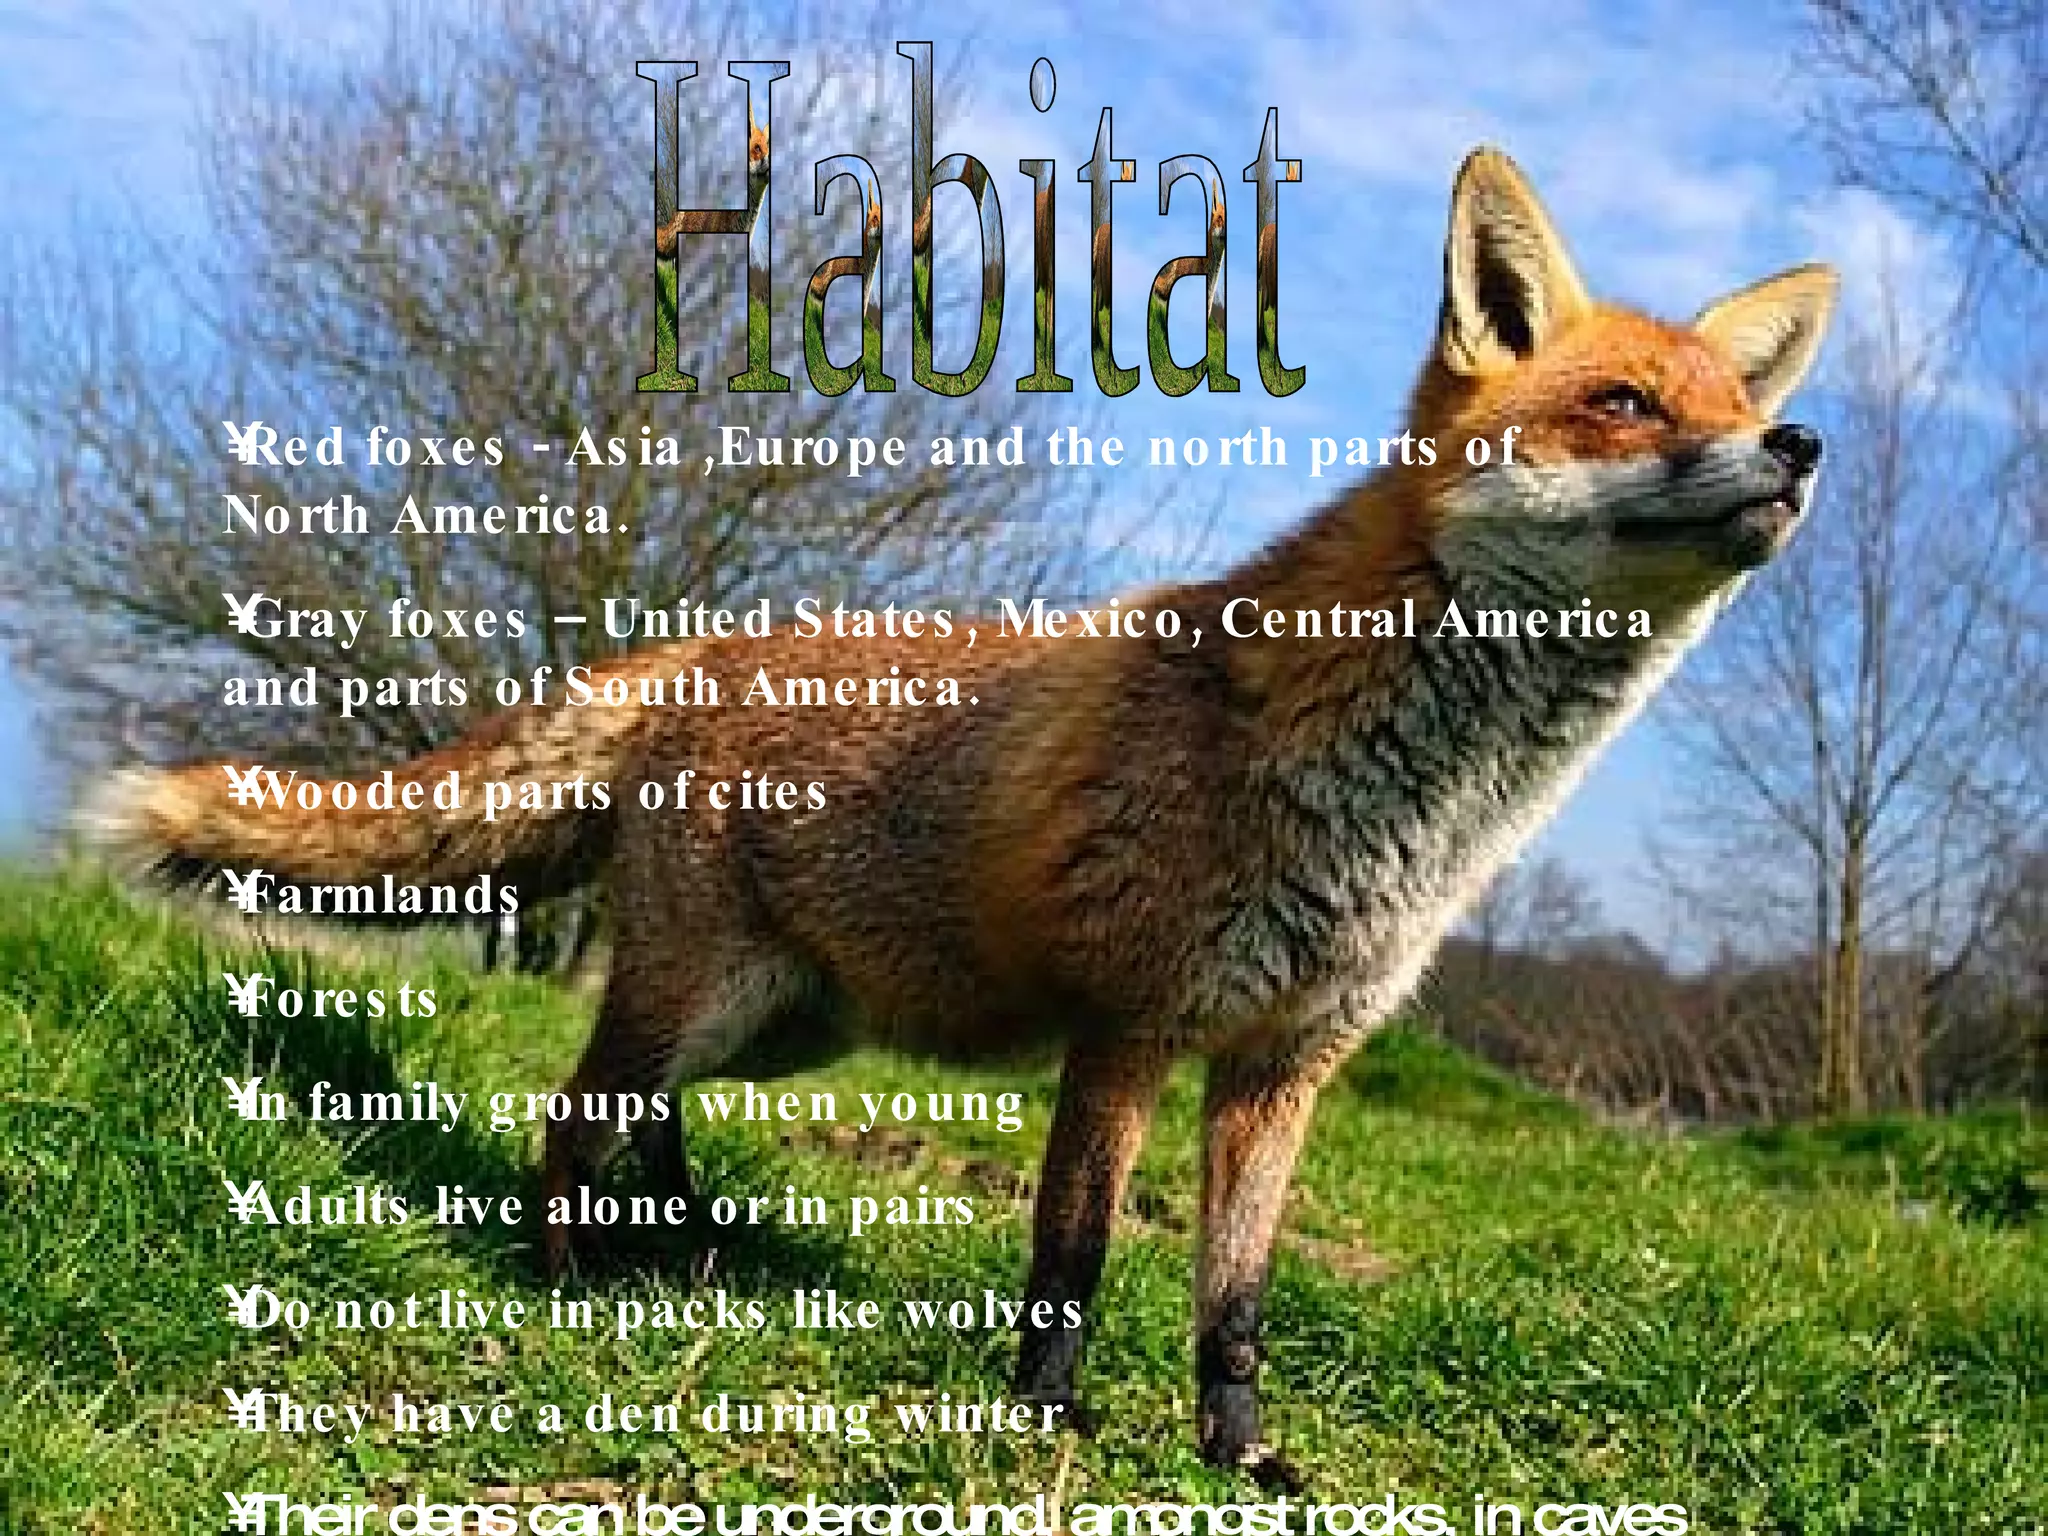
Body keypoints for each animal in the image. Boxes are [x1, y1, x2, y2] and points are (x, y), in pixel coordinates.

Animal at [87, 149, 1833, 1483]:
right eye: (1624, 403)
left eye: (1726, 402)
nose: (1800, 442)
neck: (1413, 808)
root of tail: (710, 644)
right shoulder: (1131, 1021)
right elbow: (1072, 1259)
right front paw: (1046, 1430)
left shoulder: (1285, 1064)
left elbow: (1236, 1303)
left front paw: (1237, 1459)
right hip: (706, 995)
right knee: (573, 1118)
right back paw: (570, 1279)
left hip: (786, 1025)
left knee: (647, 1122)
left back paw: (690, 1248)